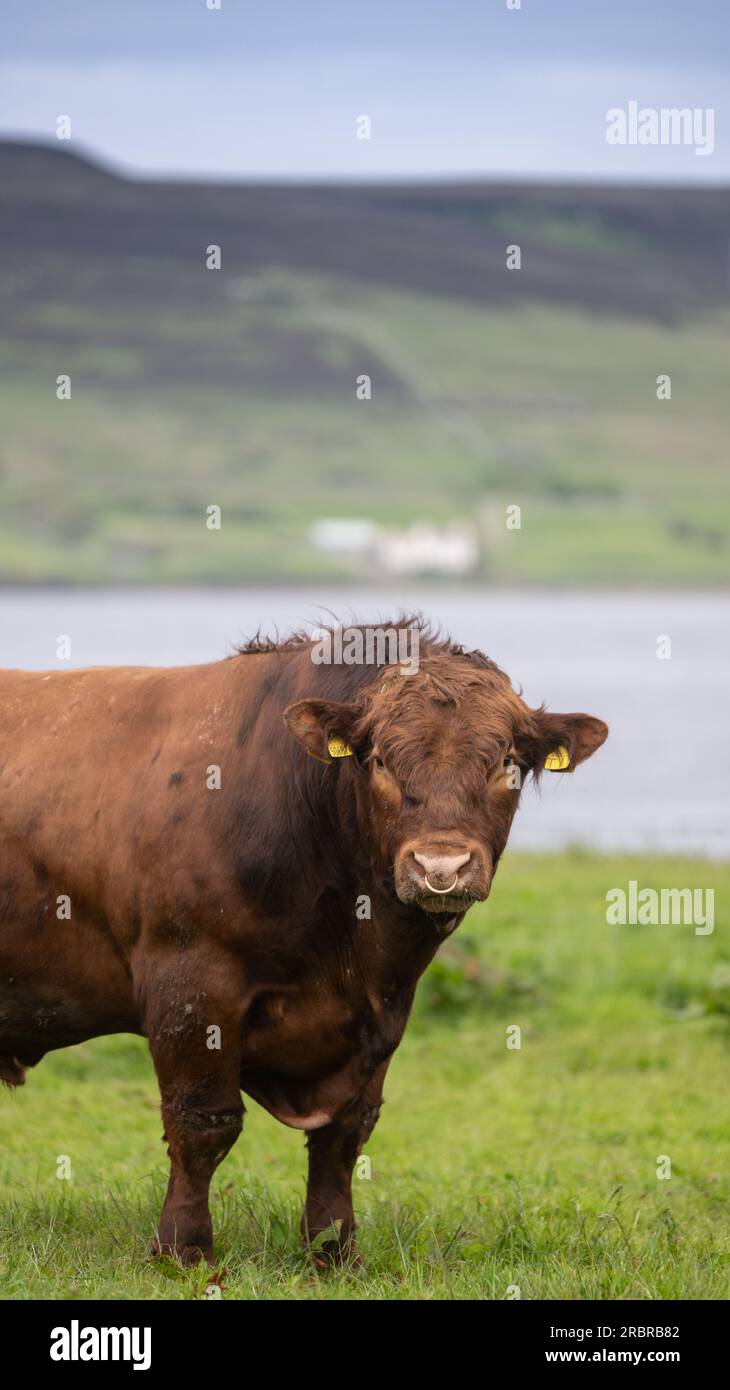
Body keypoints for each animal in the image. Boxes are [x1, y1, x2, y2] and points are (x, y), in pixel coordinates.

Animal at [0, 620, 607, 1266]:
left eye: (505, 761)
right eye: (381, 760)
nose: (440, 866)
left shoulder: (385, 1008)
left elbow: (344, 1135)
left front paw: (334, 1250)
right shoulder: (188, 983)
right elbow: (202, 1122)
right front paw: (182, 1249)